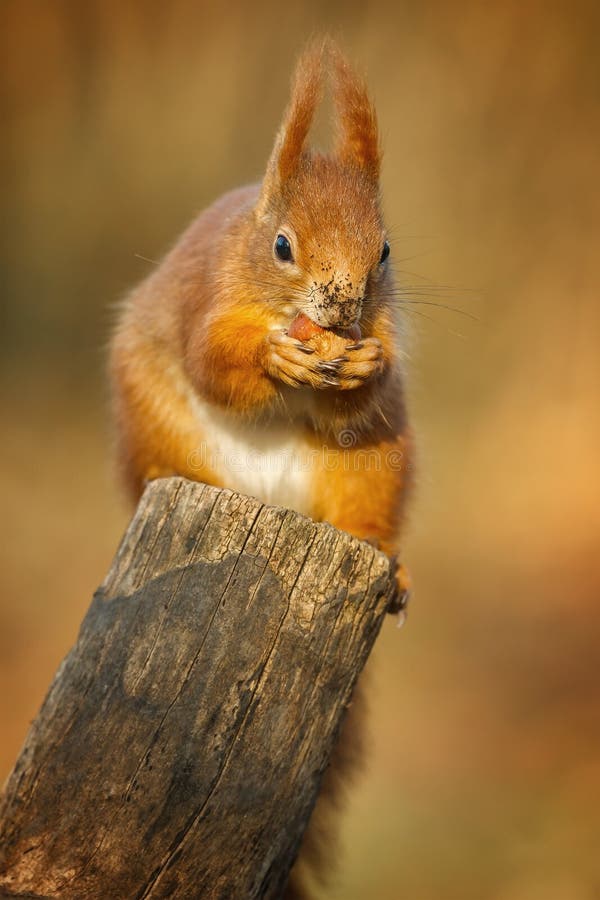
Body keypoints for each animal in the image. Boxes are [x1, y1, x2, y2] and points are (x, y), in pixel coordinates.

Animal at [109, 39, 413, 898]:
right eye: (282, 246)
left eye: (384, 249)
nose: (342, 306)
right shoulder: (204, 300)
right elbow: (214, 364)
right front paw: (274, 358)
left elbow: (364, 381)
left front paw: (365, 362)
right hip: (156, 434)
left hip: (376, 465)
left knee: (369, 517)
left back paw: (392, 565)